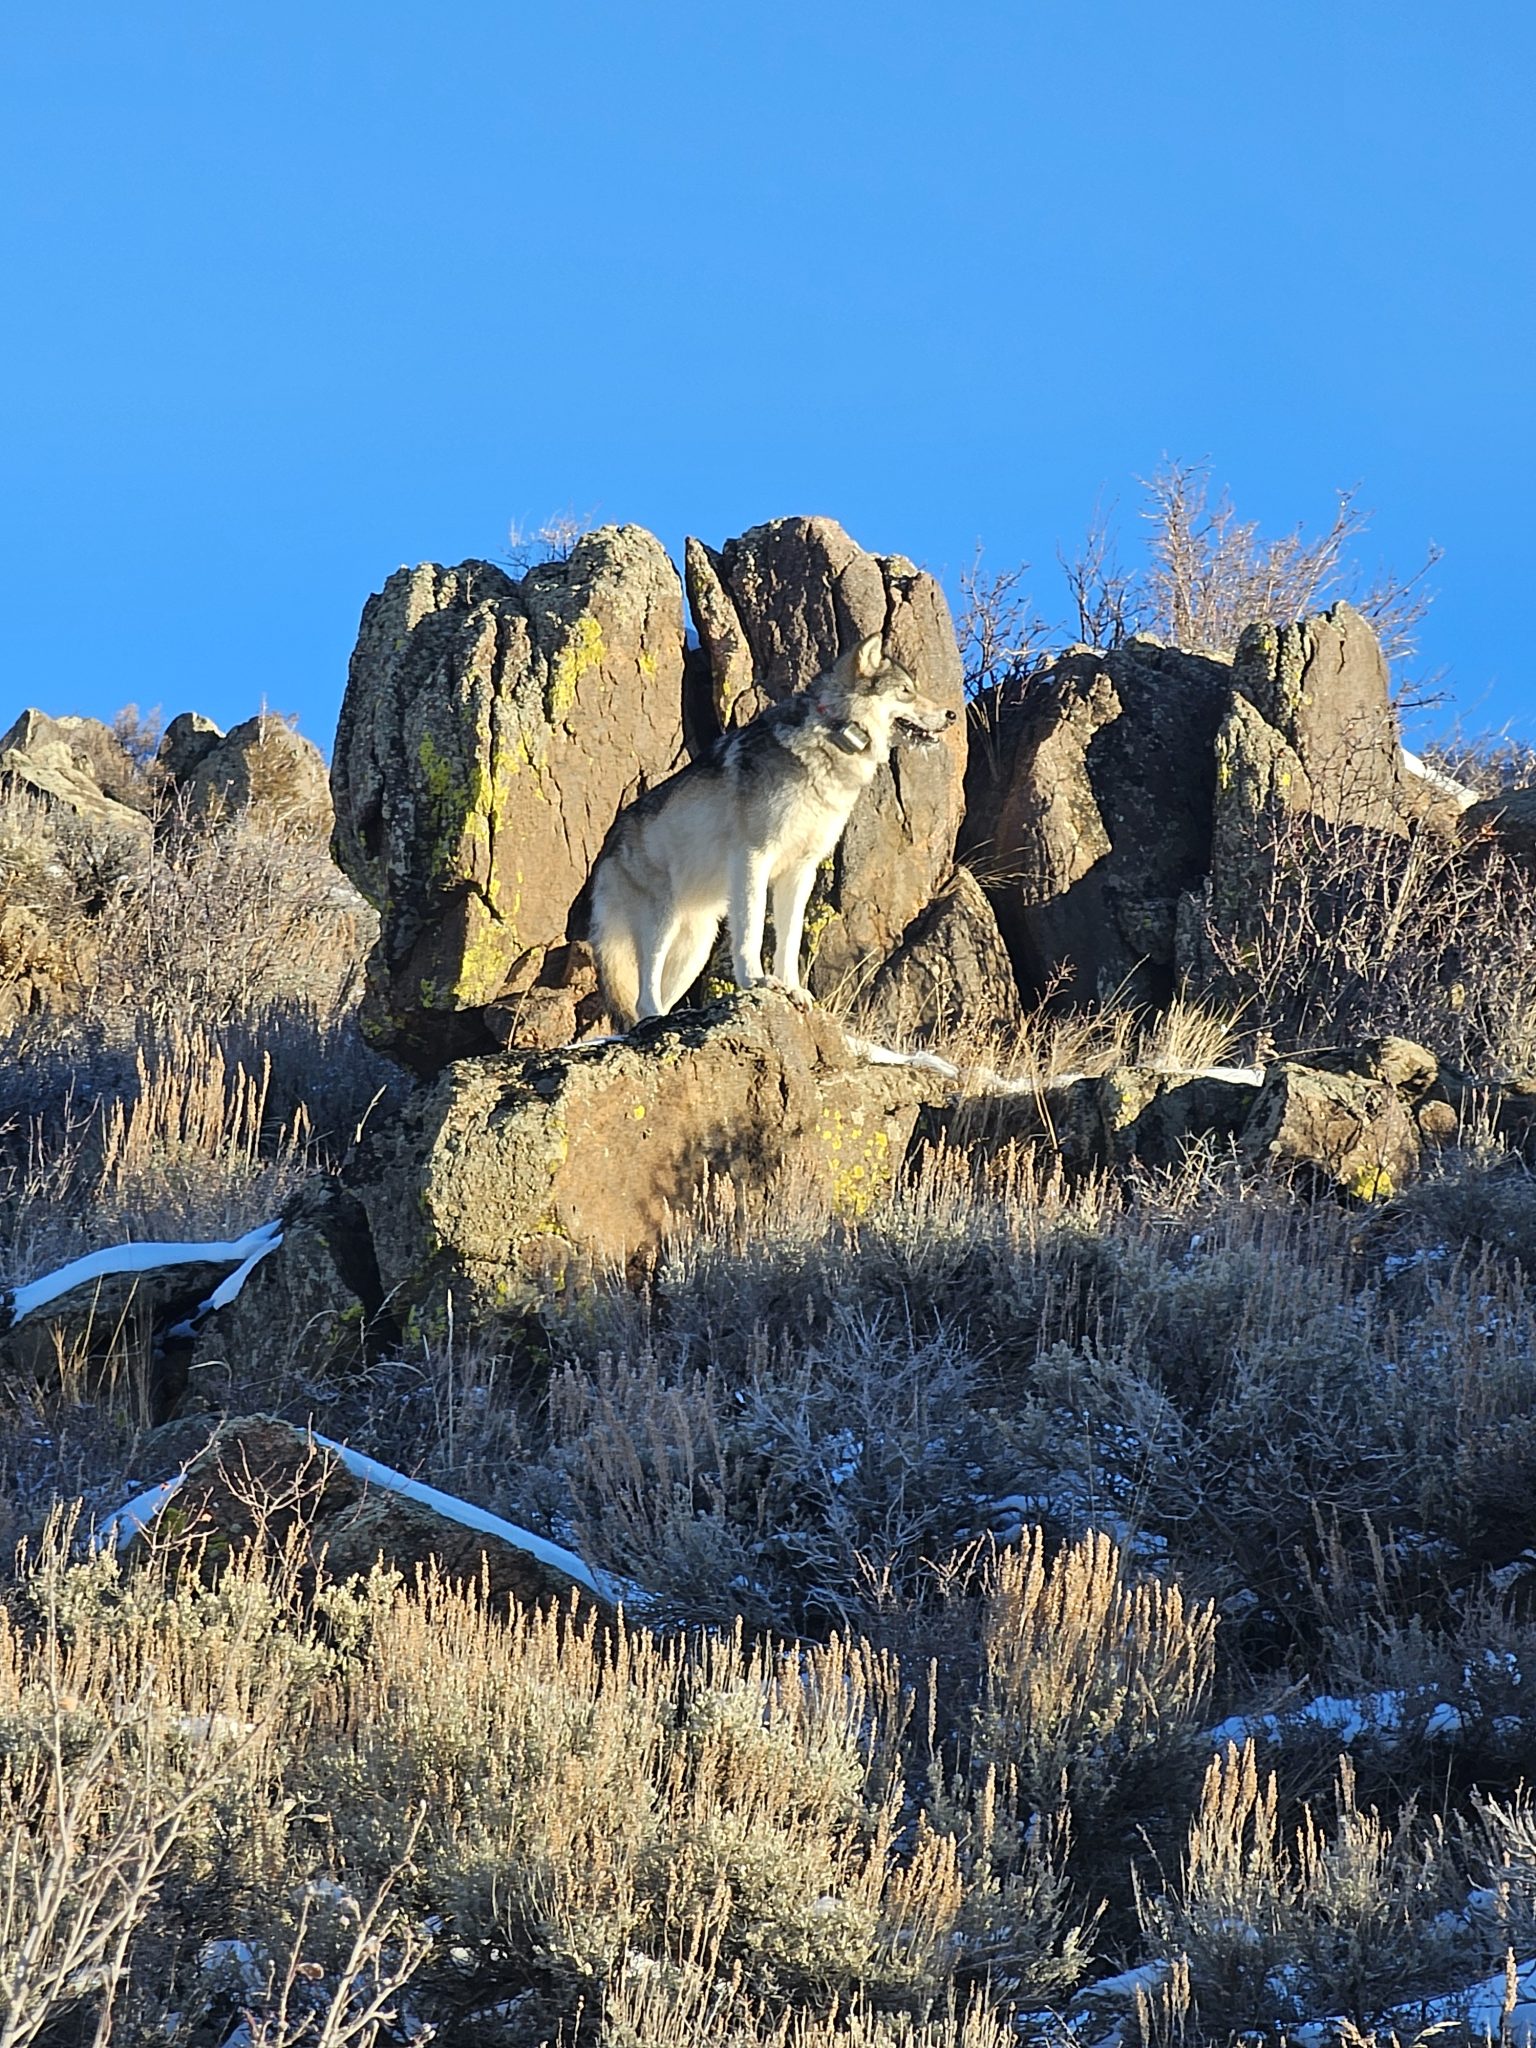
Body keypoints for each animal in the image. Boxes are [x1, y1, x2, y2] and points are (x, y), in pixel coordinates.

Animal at [587, 633, 955, 1027]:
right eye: (906, 691)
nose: (950, 715)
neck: (831, 738)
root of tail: (609, 844)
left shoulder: (801, 871)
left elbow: (789, 939)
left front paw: (792, 989)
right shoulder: (755, 857)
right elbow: (751, 930)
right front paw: (756, 981)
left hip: (695, 946)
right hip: (662, 923)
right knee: (643, 997)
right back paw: (653, 1018)